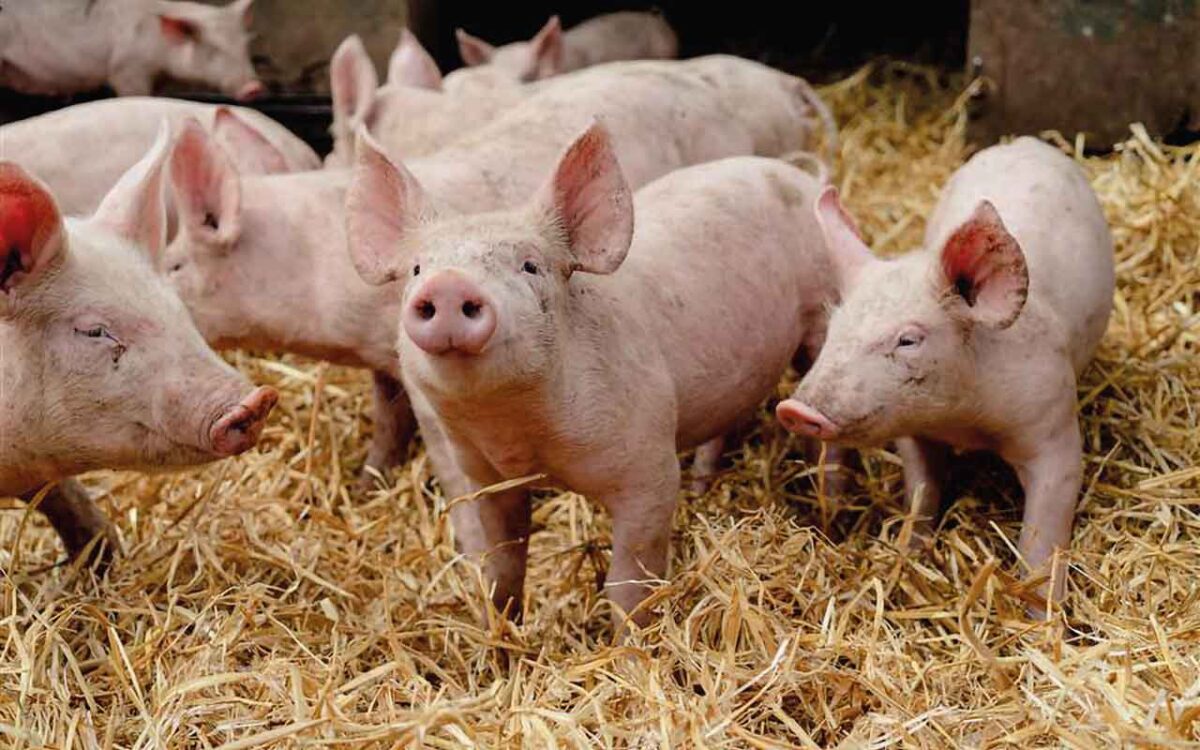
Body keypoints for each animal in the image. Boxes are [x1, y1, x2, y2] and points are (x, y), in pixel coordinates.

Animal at [344, 124, 838, 629]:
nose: (447, 284)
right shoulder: (485, 477)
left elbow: (627, 582)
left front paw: (628, 641)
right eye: (417, 268)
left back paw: (829, 516)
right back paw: (703, 488)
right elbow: (502, 565)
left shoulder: (650, 467)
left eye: (530, 265)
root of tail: (800, 176)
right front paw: (499, 631)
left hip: (822, 314)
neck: (525, 441)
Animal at [776, 137, 1115, 607]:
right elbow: (922, 491)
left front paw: (1043, 613)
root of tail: (1028, 142)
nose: (794, 410)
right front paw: (909, 552)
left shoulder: (1053, 424)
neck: (964, 421)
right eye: (835, 325)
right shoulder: (912, 432)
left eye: (908, 340)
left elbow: (1043, 531)